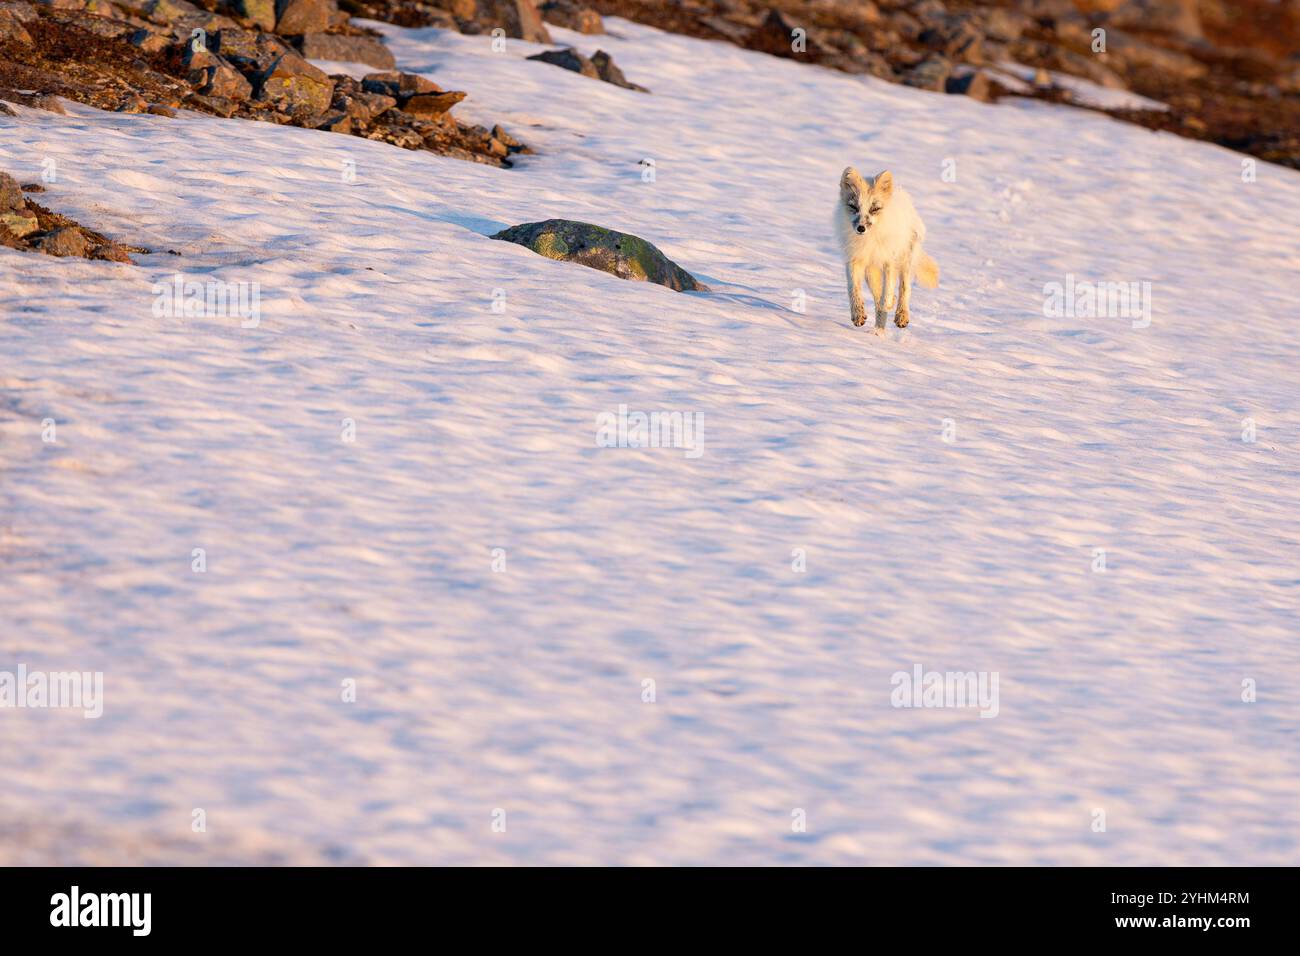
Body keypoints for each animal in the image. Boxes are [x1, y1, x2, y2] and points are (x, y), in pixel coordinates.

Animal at [836, 167, 939, 333]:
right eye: (854, 207)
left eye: (874, 209)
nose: (861, 228)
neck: (869, 240)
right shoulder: (854, 260)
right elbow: (853, 289)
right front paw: (858, 314)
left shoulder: (889, 261)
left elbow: (889, 290)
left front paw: (889, 302)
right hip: (870, 272)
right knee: (878, 299)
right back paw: (878, 333)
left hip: (905, 262)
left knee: (904, 289)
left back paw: (901, 316)